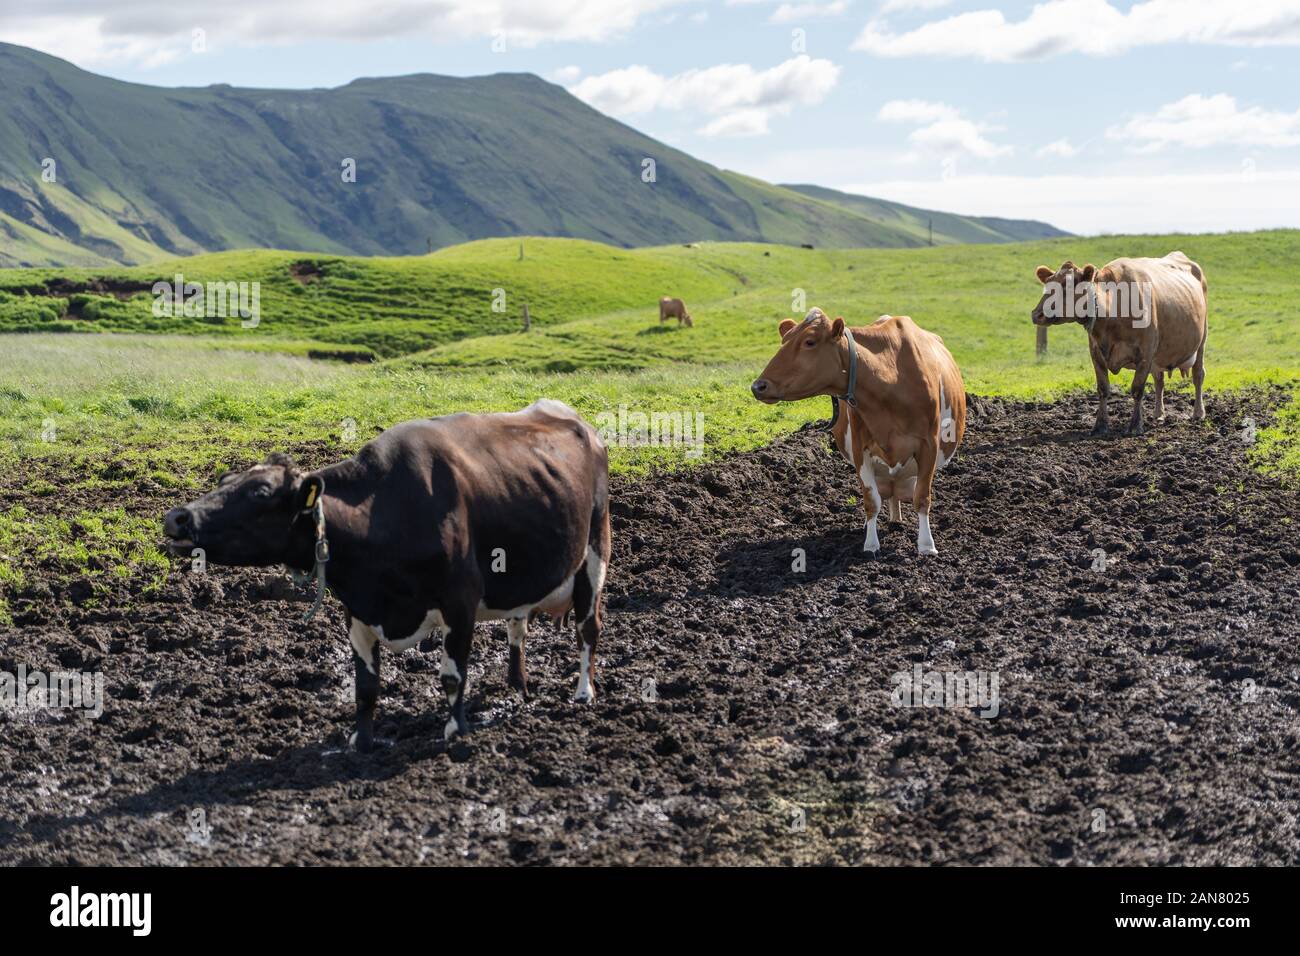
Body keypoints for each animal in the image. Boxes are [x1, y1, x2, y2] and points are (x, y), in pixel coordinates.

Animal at [161, 399, 612, 752]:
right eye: (224, 479)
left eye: (260, 493)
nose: (177, 517)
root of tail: (578, 421)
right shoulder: (357, 608)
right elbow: (365, 686)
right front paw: (360, 741)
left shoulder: (461, 600)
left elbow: (452, 676)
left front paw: (455, 731)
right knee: (518, 626)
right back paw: (518, 686)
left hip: (596, 549)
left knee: (588, 628)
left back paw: (583, 693)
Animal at [751, 308, 966, 556]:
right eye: (784, 340)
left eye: (809, 341)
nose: (758, 386)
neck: (890, 381)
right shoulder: (860, 448)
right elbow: (870, 501)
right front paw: (871, 544)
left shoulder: (928, 445)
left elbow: (922, 497)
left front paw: (926, 545)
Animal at [1031, 252, 1208, 435]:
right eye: (1048, 283)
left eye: (1067, 285)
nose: (1036, 314)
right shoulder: (1096, 354)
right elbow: (1103, 389)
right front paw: (1100, 425)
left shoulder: (1145, 354)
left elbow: (1137, 389)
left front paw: (1135, 425)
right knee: (1159, 379)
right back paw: (1158, 414)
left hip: (1202, 339)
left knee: (1198, 375)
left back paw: (1198, 413)